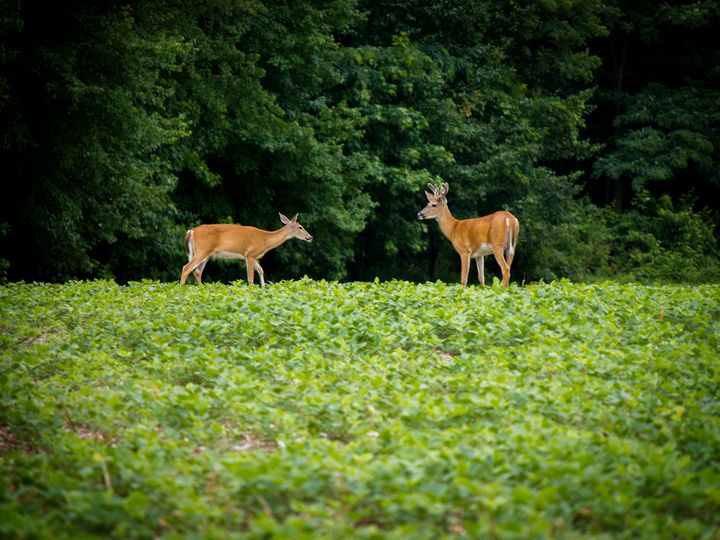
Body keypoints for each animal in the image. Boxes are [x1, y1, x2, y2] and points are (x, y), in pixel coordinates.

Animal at [180, 213, 313, 286]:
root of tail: (190, 231)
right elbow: (250, 277)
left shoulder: (251, 256)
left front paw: (263, 288)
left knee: (197, 271)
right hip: (202, 250)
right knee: (186, 268)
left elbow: (261, 270)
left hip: (205, 254)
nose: (310, 237)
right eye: (300, 227)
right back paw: (181, 289)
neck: (265, 240)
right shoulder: (250, 254)